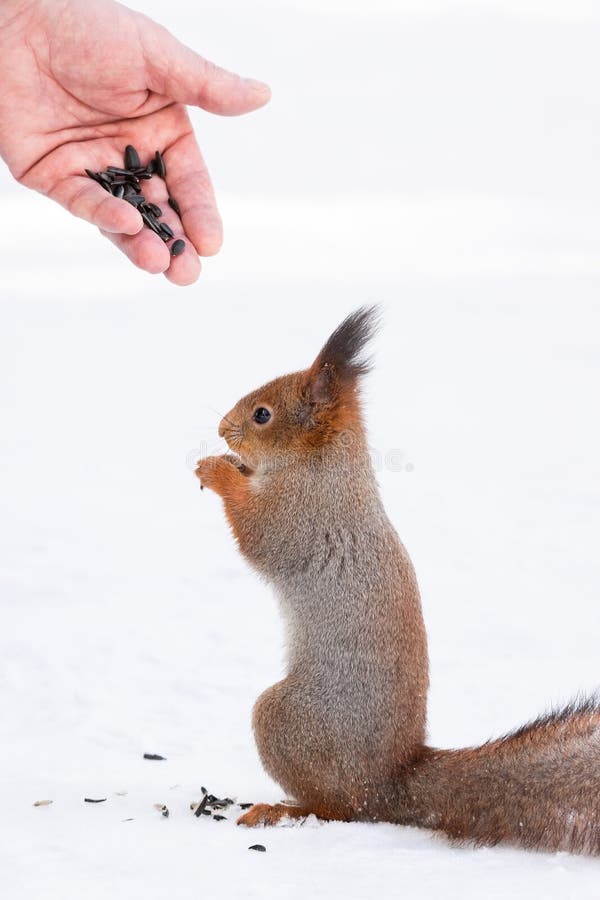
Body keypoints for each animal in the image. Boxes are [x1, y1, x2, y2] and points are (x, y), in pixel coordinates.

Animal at [195, 306, 600, 855]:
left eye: (262, 415)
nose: (221, 429)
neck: (322, 463)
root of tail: (389, 782)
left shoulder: (302, 516)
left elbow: (261, 537)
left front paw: (217, 470)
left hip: (289, 722)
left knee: (340, 809)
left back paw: (281, 810)